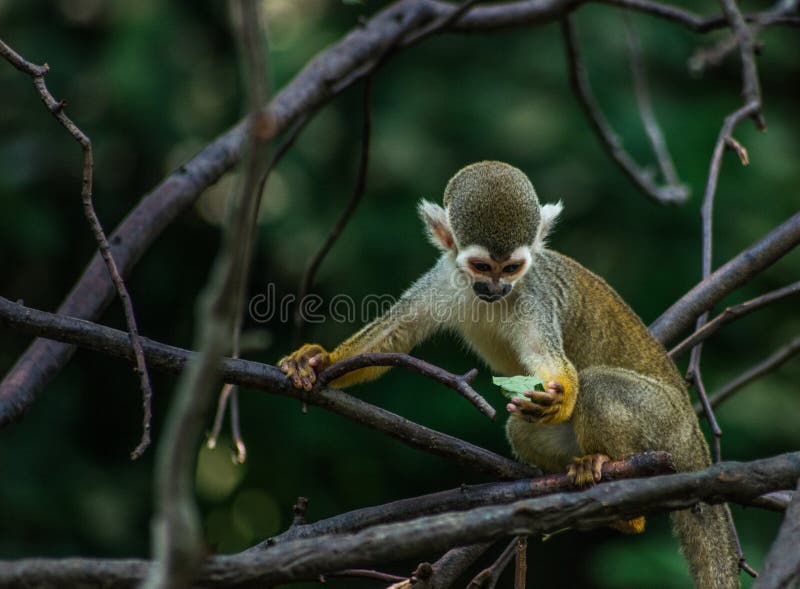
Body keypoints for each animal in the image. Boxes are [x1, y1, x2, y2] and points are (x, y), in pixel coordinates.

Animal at [279, 161, 740, 588]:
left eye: (513, 268)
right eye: (483, 266)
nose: (497, 289)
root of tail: (694, 438)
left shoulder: (535, 294)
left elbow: (549, 358)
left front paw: (559, 395)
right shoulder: (444, 276)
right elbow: (393, 337)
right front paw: (317, 362)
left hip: (662, 419)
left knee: (598, 386)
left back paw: (623, 500)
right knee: (520, 429)